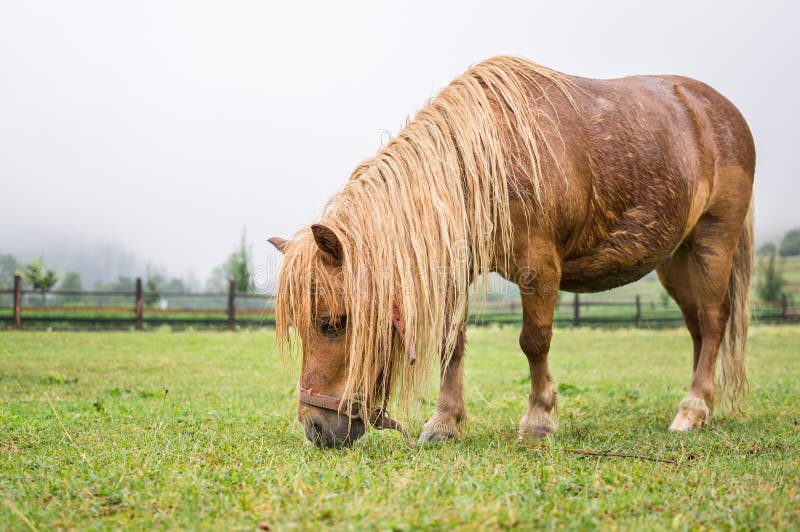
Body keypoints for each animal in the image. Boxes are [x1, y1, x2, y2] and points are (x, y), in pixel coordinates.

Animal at [269, 56, 754, 448]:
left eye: (332, 323)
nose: (315, 428)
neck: (486, 159)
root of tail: (719, 111)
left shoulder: (538, 268)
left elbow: (534, 342)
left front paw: (539, 420)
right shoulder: (457, 267)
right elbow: (452, 344)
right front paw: (443, 424)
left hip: (713, 242)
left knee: (713, 321)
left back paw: (693, 409)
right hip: (676, 260)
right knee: (697, 328)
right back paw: (703, 404)